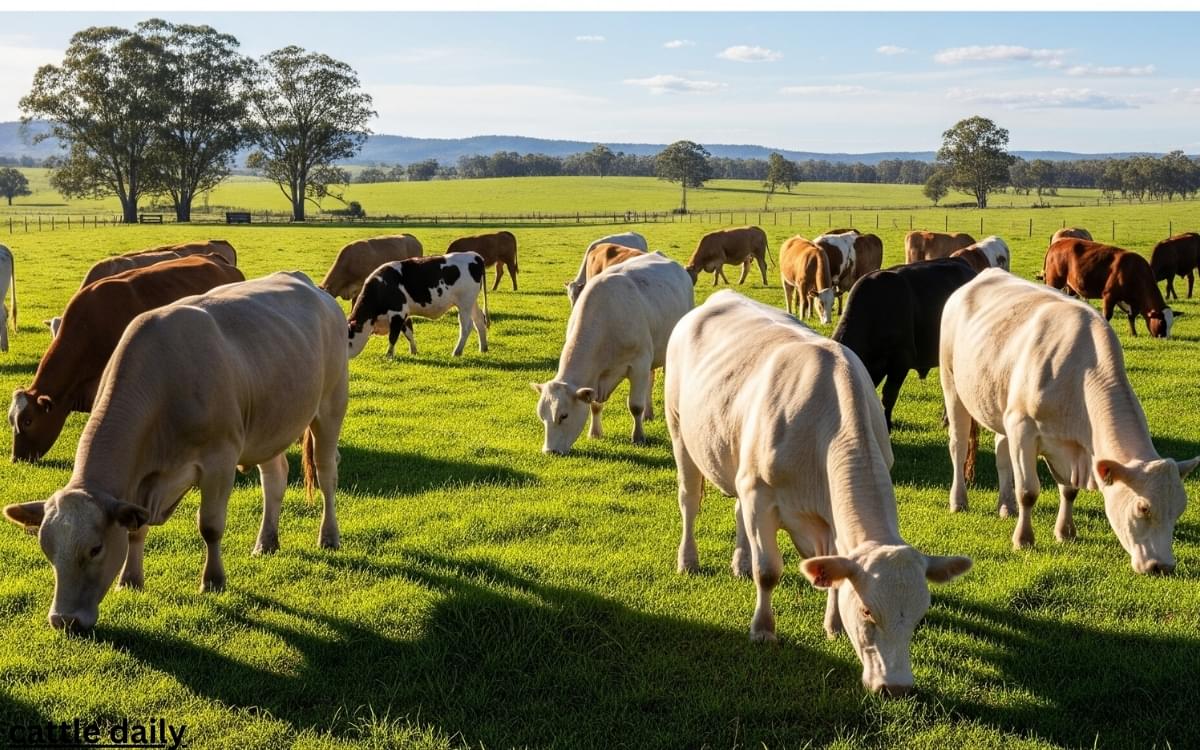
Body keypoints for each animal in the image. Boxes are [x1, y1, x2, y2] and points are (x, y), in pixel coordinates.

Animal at [347, 253, 489, 358]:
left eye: (348, 341)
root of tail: (475, 256)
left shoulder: (397, 313)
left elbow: (393, 336)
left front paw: (389, 355)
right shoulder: (404, 313)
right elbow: (409, 332)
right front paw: (414, 351)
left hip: (464, 304)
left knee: (466, 327)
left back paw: (457, 352)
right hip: (471, 302)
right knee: (479, 320)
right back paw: (483, 348)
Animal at [534, 252, 693, 454]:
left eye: (564, 416)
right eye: (542, 416)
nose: (550, 451)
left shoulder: (639, 364)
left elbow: (635, 406)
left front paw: (638, 437)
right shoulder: (597, 379)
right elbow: (595, 405)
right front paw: (595, 433)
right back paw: (648, 414)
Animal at [667, 290, 971, 695]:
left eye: (920, 617)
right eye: (868, 611)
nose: (897, 687)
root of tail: (720, 297)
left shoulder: (823, 514)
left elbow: (834, 564)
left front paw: (834, 625)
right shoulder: (761, 496)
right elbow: (769, 571)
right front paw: (763, 630)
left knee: (738, 513)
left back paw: (740, 561)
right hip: (680, 430)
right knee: (689, 501)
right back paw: (689, 560)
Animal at [940, 270, 1198, 574]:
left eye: (1180, 509)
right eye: (1143, 508)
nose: (1163, 566)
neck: (1080, 374)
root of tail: (984, 275)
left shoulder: (1069, 445)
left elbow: (1069, 489)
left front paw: (1065, 532)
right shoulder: (1022, 428)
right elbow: (1028, 491)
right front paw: (1023, 539)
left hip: (998, 402)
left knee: (1002, 454)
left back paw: (1006, 506)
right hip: (952, 384)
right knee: (958, 445)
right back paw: (959, 501)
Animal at [1043, 238, 1175, 338]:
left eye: (1171, 324)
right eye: (1162, 323)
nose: (1166, 337)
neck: (1133, 270)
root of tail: (1058, 243)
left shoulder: (1133, 303)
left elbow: (1131, 317)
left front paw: (1134, 334)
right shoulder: (1109, 296)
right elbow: (1107, 316)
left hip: (1070, 287)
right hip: (1055, 281)